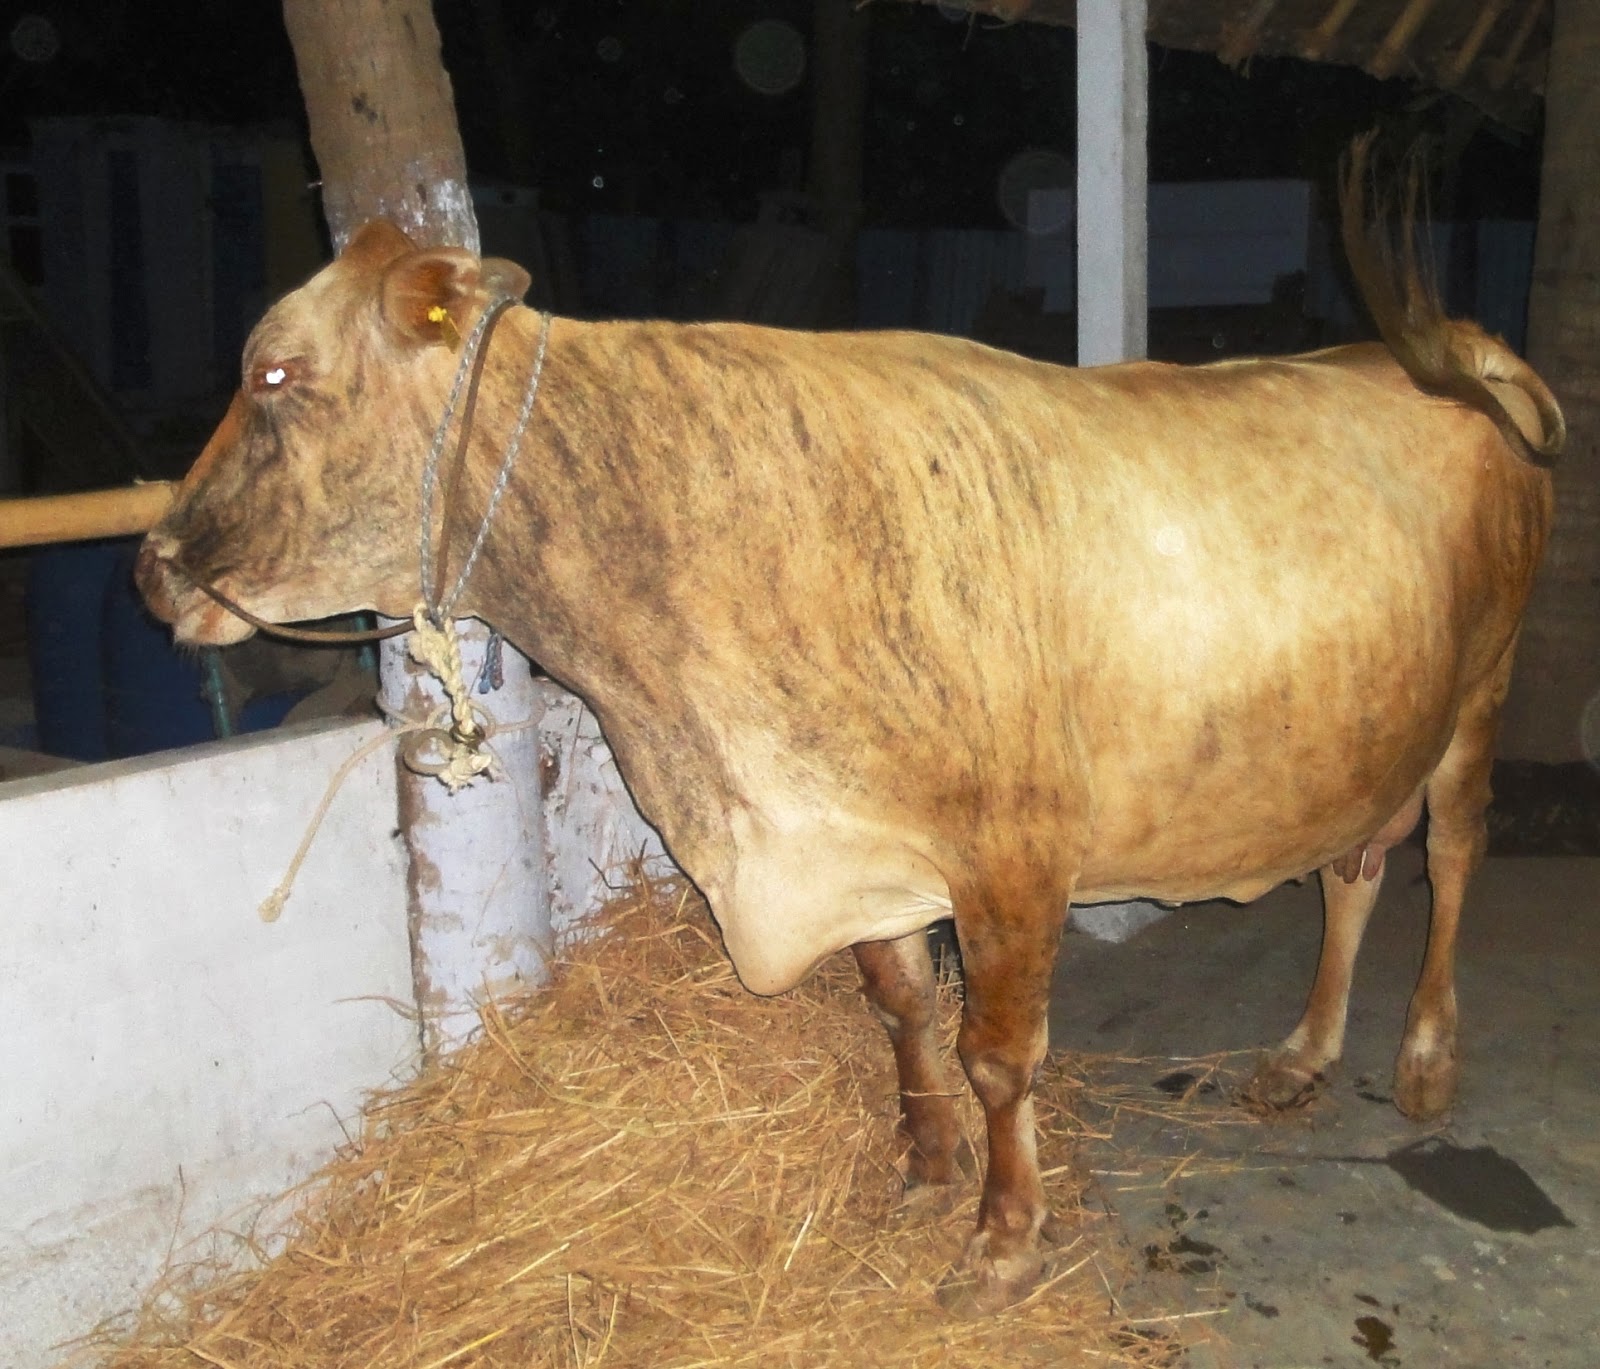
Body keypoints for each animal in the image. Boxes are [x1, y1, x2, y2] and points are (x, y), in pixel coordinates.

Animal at [136, 149, 1563, 1316]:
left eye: (274, 374)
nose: (150, 565)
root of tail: (1440, 348)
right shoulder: (859, 841)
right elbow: (900, 1012)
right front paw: (921, 1165)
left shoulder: (1013, 853)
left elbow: (998, 1055)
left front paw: (1002, 1238)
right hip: (1367, 729)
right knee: (1353, 870)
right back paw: (1304, 1055)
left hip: (1481, 692)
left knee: (1448, 857)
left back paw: (1422, 1060)